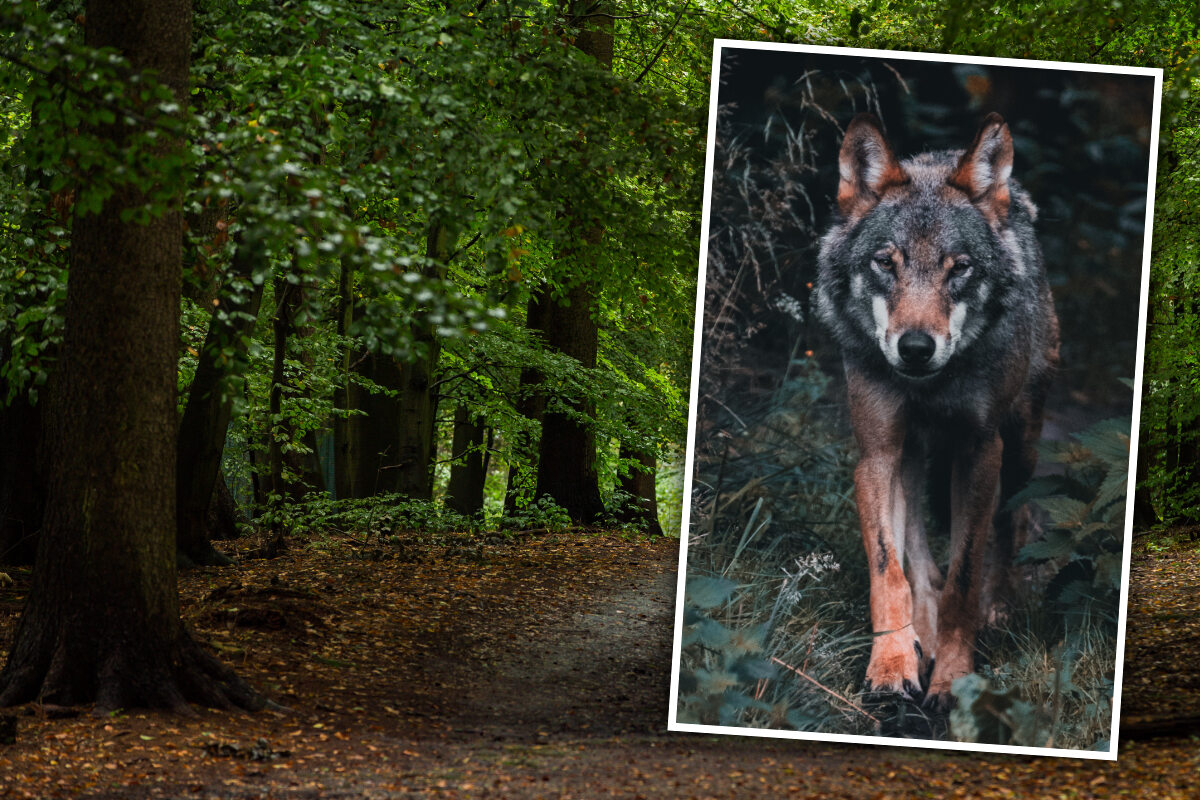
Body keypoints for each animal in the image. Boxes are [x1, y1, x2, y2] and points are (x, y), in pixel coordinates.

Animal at [814, 113, 1060, 711]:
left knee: (1011, 521)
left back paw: (997, 611)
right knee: (919, 559)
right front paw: (891, 666)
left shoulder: (979, 450)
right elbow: (891, 571)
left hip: (1019, 447)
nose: (916, 349)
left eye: (960, 269)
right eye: (886, 263)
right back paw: (918, 639)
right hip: (912, 457)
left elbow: (963, 577)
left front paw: (953, 679)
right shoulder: (876, 453)